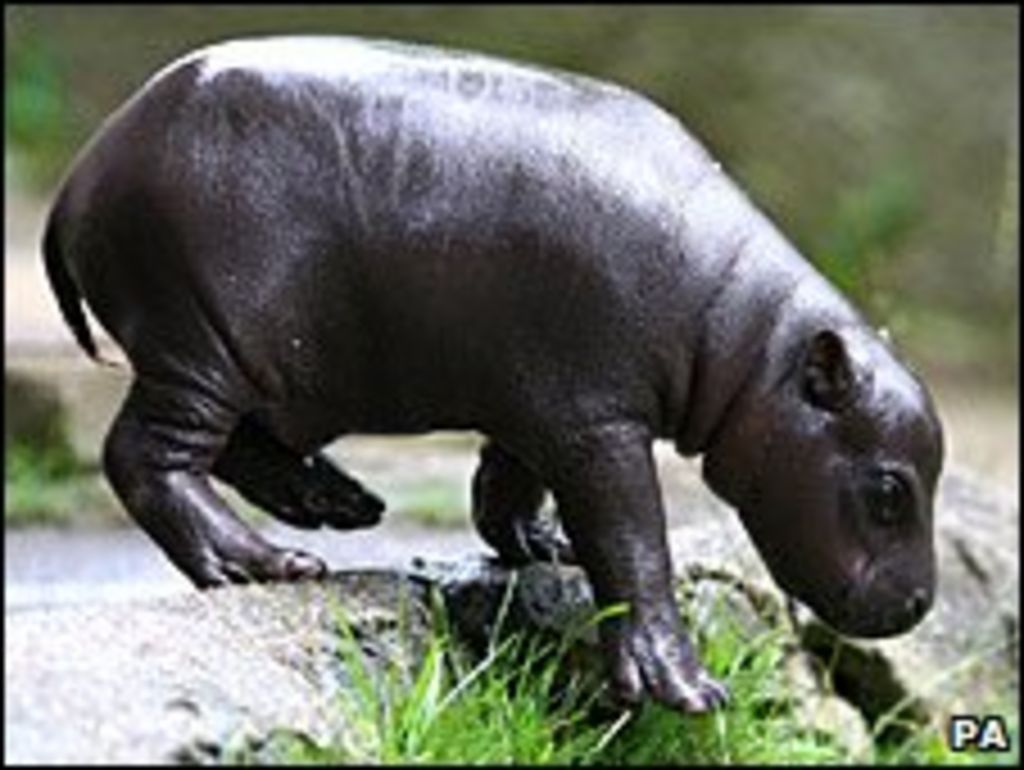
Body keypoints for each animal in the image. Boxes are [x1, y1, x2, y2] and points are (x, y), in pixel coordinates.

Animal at [42, 36, 944, 713]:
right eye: (889, 489)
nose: (922, 605)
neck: (747, 344)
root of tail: (79, 175)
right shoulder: (598, 421)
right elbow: (631, 536)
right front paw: (684, 689)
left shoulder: (541, 403)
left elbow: (508, 480)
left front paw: (543, 548)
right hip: (200, 342)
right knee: (148, 456)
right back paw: (262, 563)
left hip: (277, 370)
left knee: (238, 447)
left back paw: (339, 503)